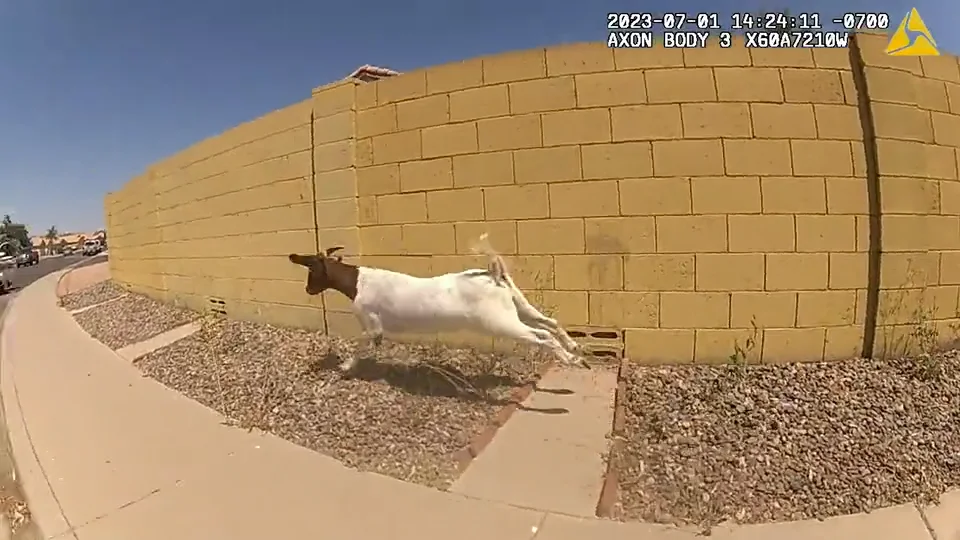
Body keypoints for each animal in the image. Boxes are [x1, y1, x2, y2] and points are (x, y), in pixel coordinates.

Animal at [288, 236, 588, 373]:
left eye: (311, 269)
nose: (307, 289)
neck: (358, 281)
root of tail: (493, 274)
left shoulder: (371, 322)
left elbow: (364, 342)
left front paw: (346, 366)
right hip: (518, 306)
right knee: (549, 323)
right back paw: (574, 348)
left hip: (500, 322)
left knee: (542, 336)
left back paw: (570, 358)